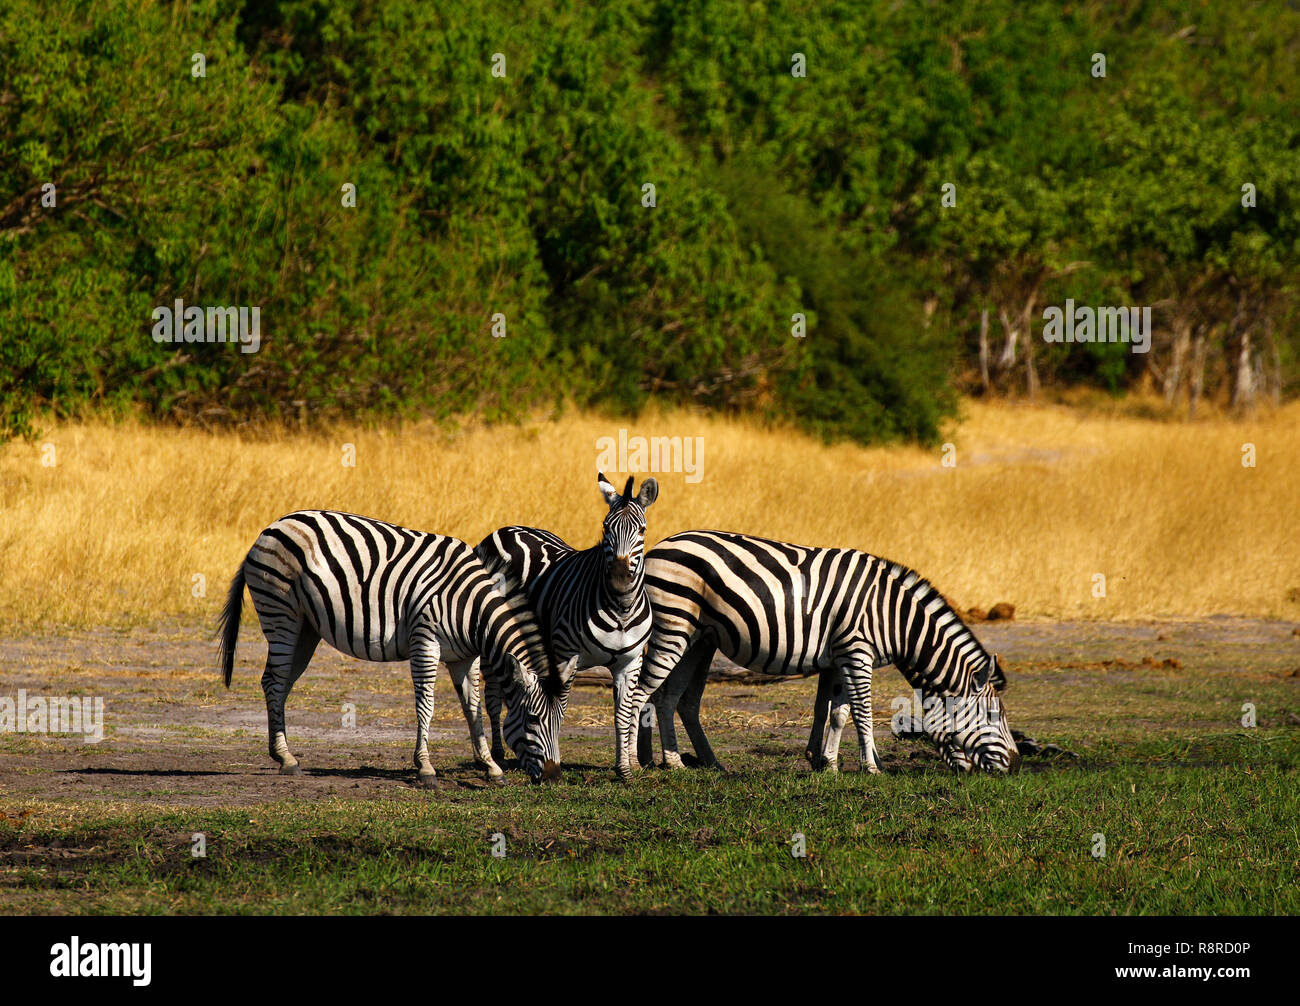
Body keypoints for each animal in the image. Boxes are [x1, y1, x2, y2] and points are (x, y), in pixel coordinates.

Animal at [217, 510, 570, 785]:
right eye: (533, 720)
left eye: (560, 721)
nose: (553, 776)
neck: (472, 608)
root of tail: (270, 528)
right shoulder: (425, 640)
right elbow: (426, 704)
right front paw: (425, 767)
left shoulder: (465, 657)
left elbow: (473, 708)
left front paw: (491, 766)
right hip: (281, 612)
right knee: (274, 682)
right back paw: (287, 758)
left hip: (306, 628)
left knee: (281, 684)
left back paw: (282, 753)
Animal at [475, 473, 657, 778]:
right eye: (606, 528)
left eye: (641, 530)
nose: (619, 578)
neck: (621, 607)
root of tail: (506, 529)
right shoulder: (564, 654)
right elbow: (558, 707)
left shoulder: (630, 662)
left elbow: (623, 715)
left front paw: (625, 770)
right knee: (492, 697)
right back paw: (498, 755)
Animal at [625, 530, 1020, 776]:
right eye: (993, 714)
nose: (1015, 765)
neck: (895, 618)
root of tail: (657, 547)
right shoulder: (857, 651)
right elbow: (861, 712)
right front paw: (871, 767)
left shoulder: (839, 657)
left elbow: (835, 712)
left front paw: (825, 762)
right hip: (672, 625)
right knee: (642, 692)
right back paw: (634, 763)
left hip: (697, 639)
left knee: (670, 698)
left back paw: (679, 763)